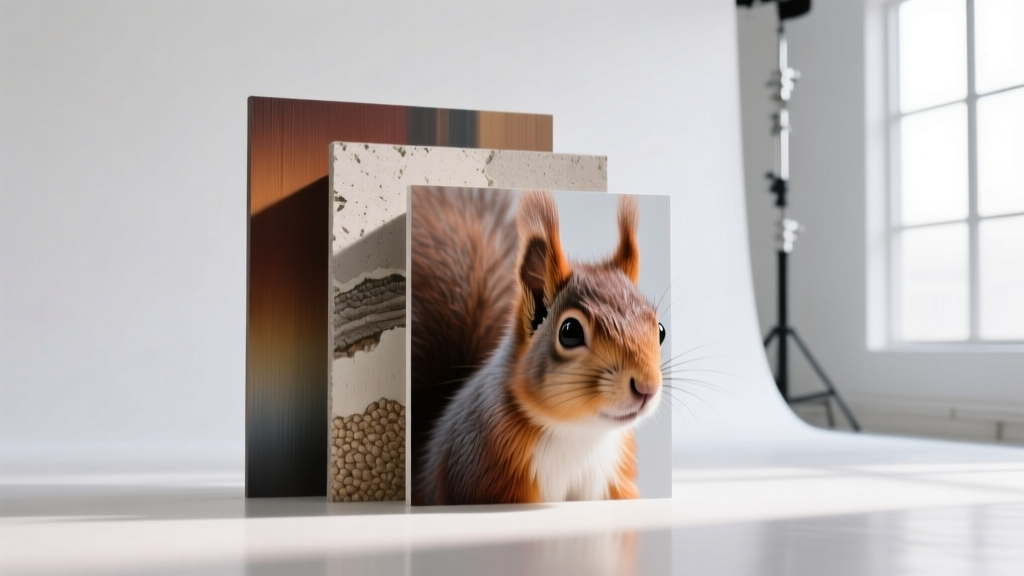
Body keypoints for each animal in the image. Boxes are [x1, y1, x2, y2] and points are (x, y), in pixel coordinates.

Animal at [410, 187, 665, 505]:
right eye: (570, 332)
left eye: (660, 330)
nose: (647, 387)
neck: (580, 435)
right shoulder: (488, 475)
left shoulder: (614, 481)